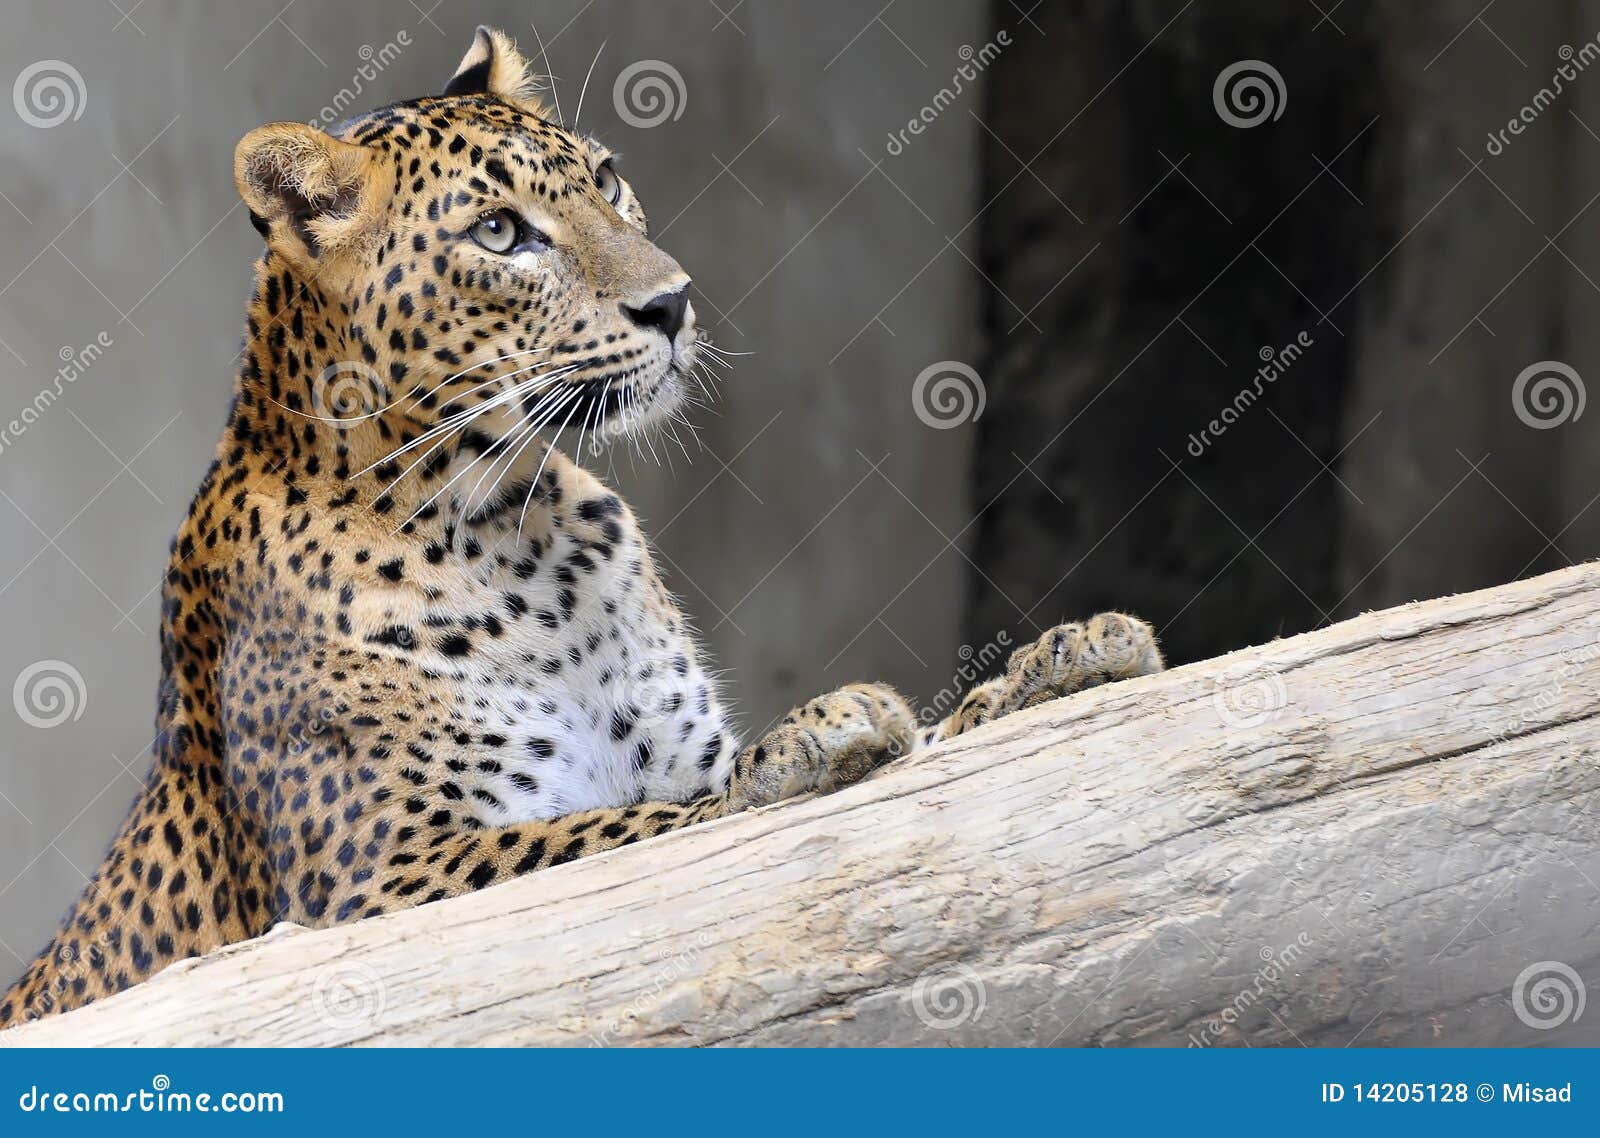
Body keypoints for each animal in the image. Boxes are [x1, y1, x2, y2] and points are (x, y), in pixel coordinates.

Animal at [1, 27, 1163, 1027]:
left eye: (604, 181)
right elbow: (614, 833)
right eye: (499, 233)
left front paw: (1061, 663)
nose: (675, 302)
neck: (511, 530)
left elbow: (930, 742)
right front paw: (813, 738)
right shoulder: (379, 881)